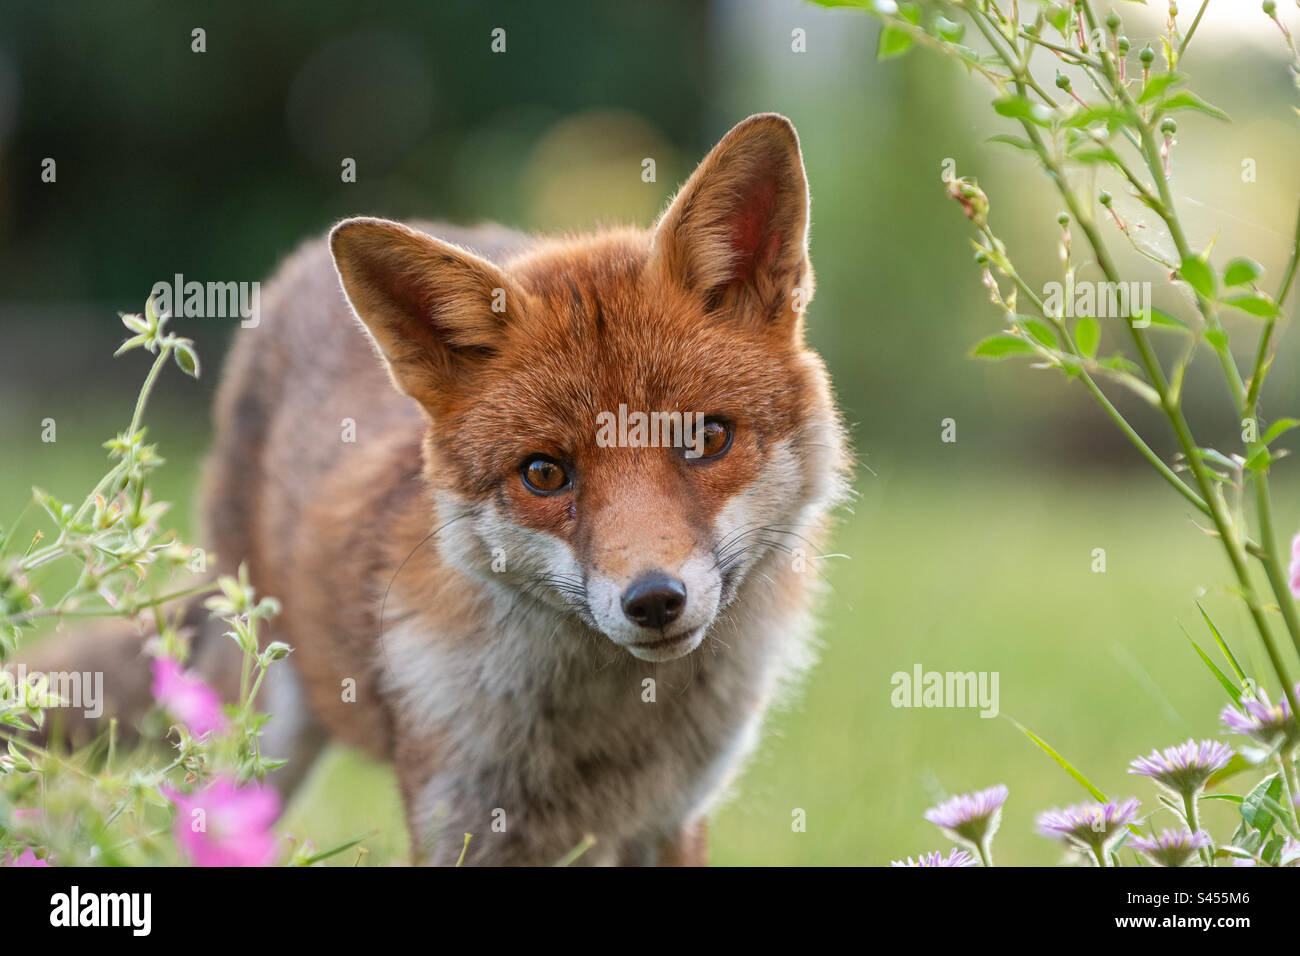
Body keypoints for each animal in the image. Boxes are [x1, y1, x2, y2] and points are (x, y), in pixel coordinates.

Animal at [22, 113, 850, 865]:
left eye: (706, 439)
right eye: (544, 473)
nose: (653, 601)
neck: (611, 734)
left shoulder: (673, 821)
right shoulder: (460, 822)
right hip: (253, 728)